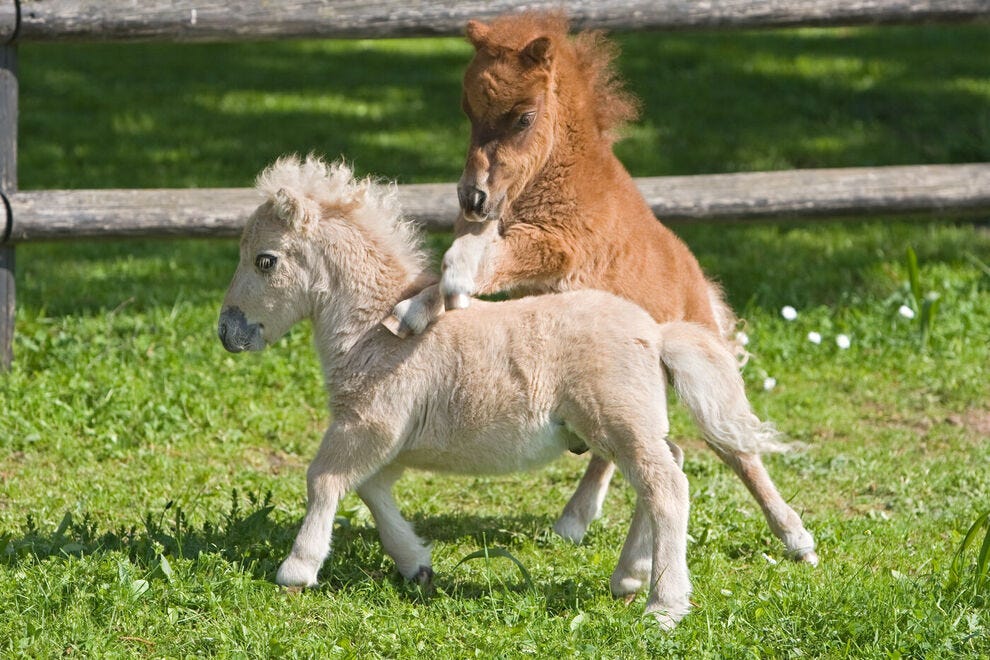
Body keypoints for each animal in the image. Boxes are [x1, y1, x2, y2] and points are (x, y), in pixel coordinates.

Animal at [218, 155, 796, 629]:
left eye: (265, 260)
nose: (228, 332)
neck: (371, 331)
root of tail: (657, 334)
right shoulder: (390, 441)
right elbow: (372, 488)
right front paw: (416, 564)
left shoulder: (369, 424)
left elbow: (324, 480)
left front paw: (296, 570)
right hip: (620, 427)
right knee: (665, 468)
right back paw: (629, 577)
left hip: (619, 423)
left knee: (667, 486)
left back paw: (665, 605)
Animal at [387, 11, 817, 566]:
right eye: (468, 111)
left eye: (524, 117)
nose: (472, 197)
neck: (562, 177)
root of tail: (701, 286)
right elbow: (466, 259)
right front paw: (411, 312)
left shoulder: (557, 248)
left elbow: (476, 261)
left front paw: (445, 288)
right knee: (621, 447)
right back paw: (575, 520)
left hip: (697, 368)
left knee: (732, 445)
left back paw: (796, 538)